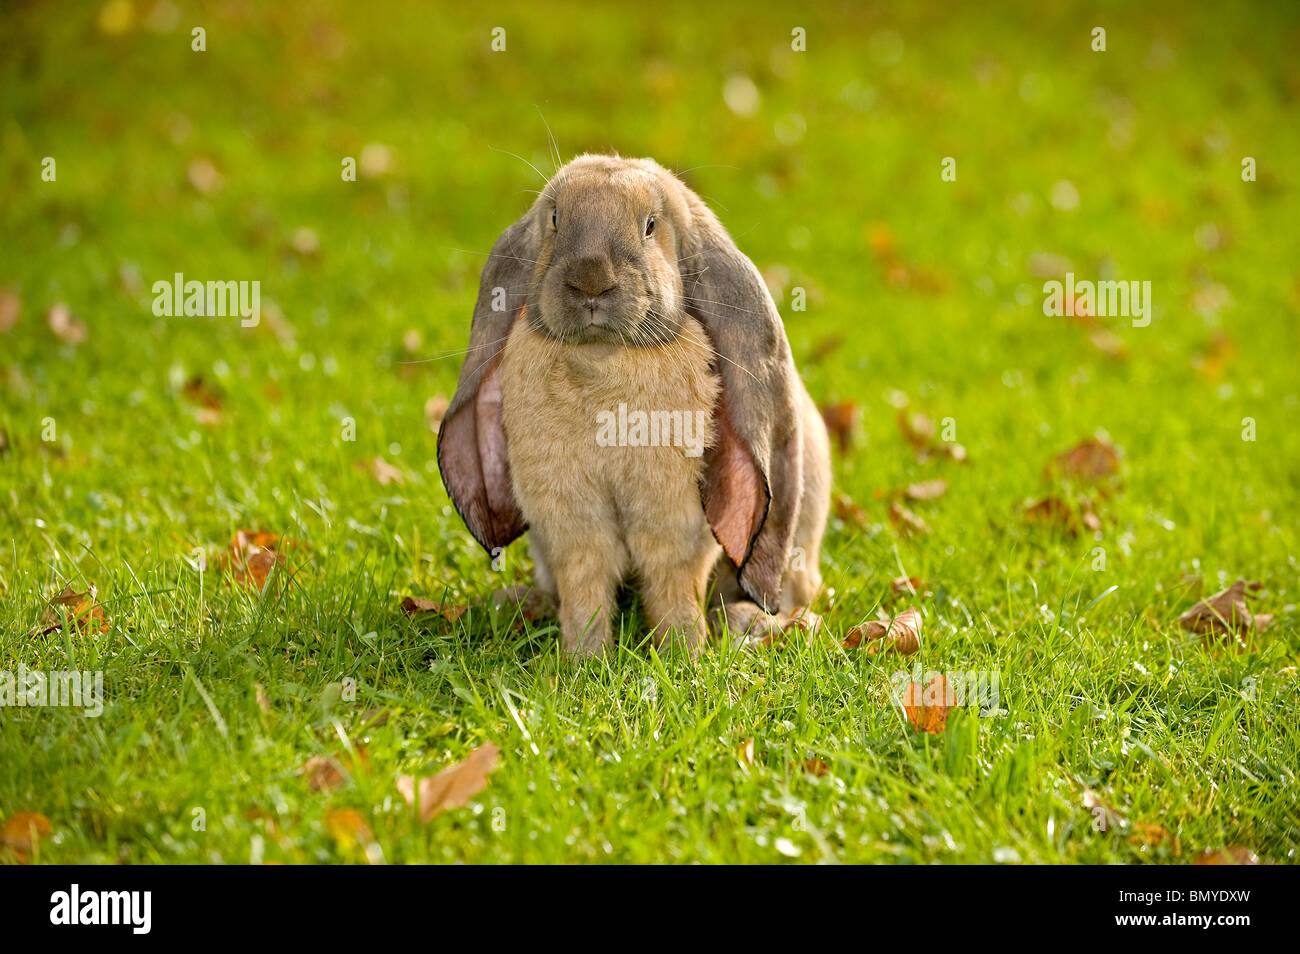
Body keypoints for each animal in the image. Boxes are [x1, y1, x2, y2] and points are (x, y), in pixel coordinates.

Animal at [438, 154, 831, 657]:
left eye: (650, 226)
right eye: (554, 218)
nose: (590, 282)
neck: (602, 364)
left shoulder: (676, 518)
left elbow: (671, 585)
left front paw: (684, 655)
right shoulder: (570, 519)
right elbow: (586, 586)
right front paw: (583, 659)